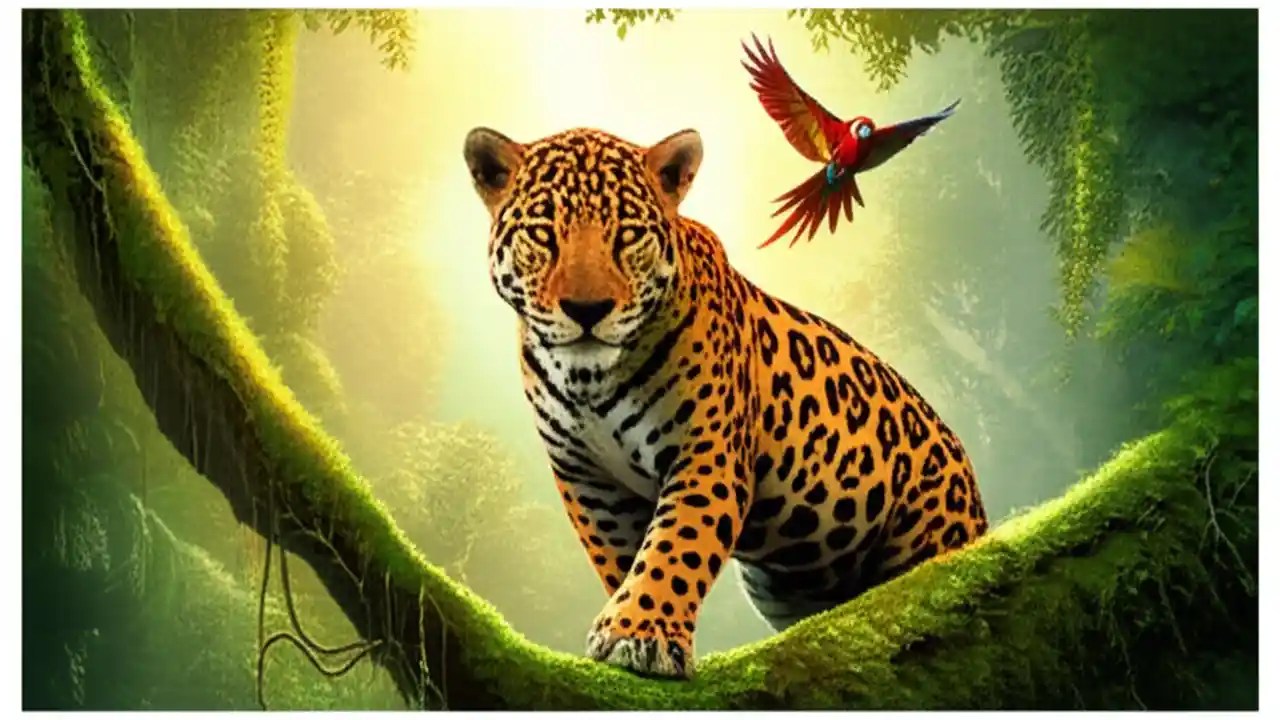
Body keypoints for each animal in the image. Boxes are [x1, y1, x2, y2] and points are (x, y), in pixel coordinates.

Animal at [462, 125, 989, 679]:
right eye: (543, 235)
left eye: (628, 236)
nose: (588, 310)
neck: (589, 380)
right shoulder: (588, 480)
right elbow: (624, 557)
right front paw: (630, 622)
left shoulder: (706, 454)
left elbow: (676, 546)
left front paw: (640, 633)